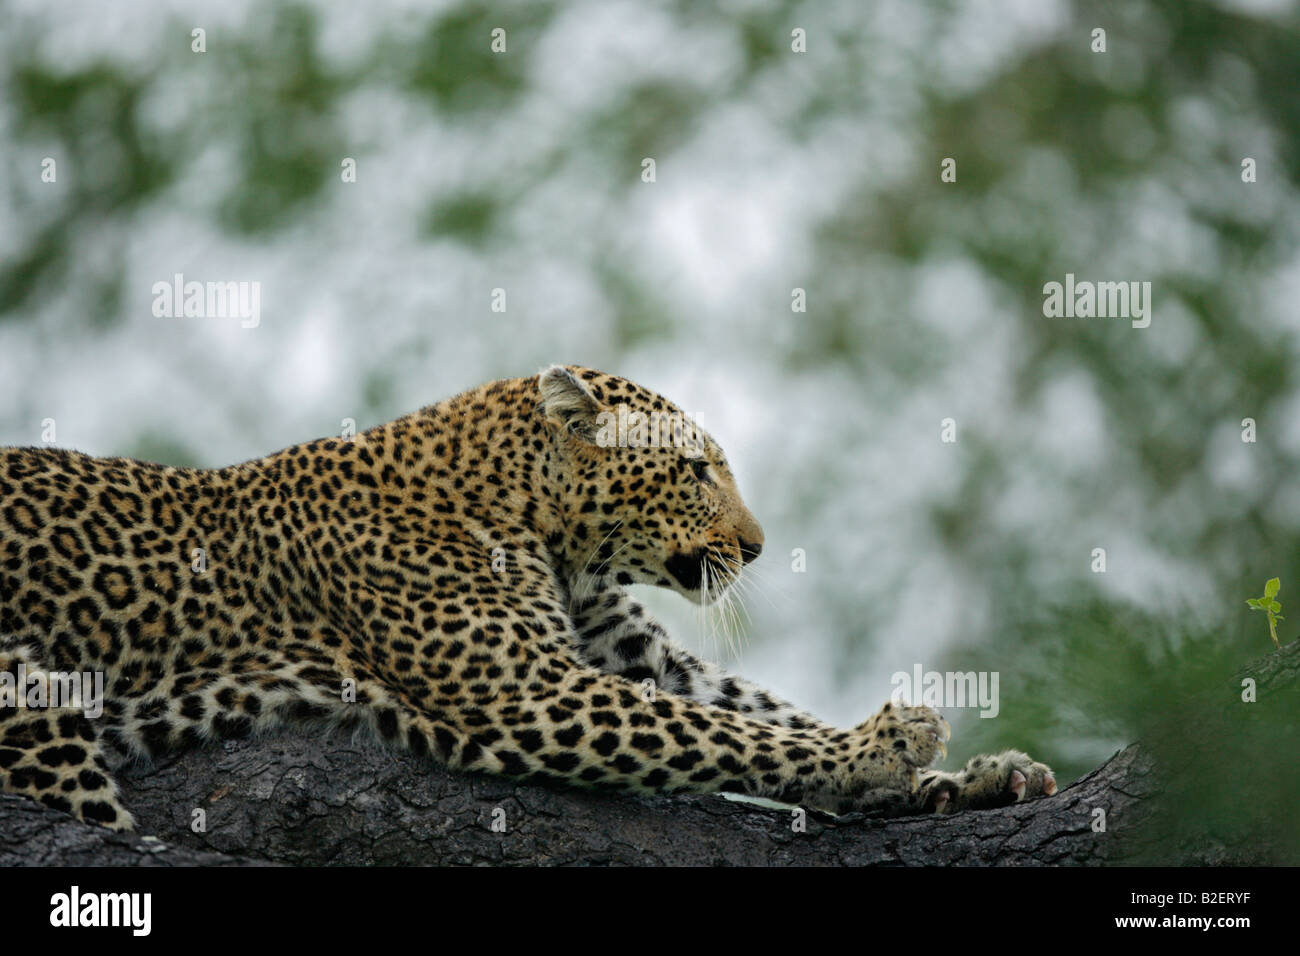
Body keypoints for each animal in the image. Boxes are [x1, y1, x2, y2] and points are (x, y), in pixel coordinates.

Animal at [0, 365, 1055, 832]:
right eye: (695, 470)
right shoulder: (528, 691)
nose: (757, 547)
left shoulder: (627, 653)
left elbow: (758, 711)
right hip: (32, 705)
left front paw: (970, 778)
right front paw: (885, 746)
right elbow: (735, 735)